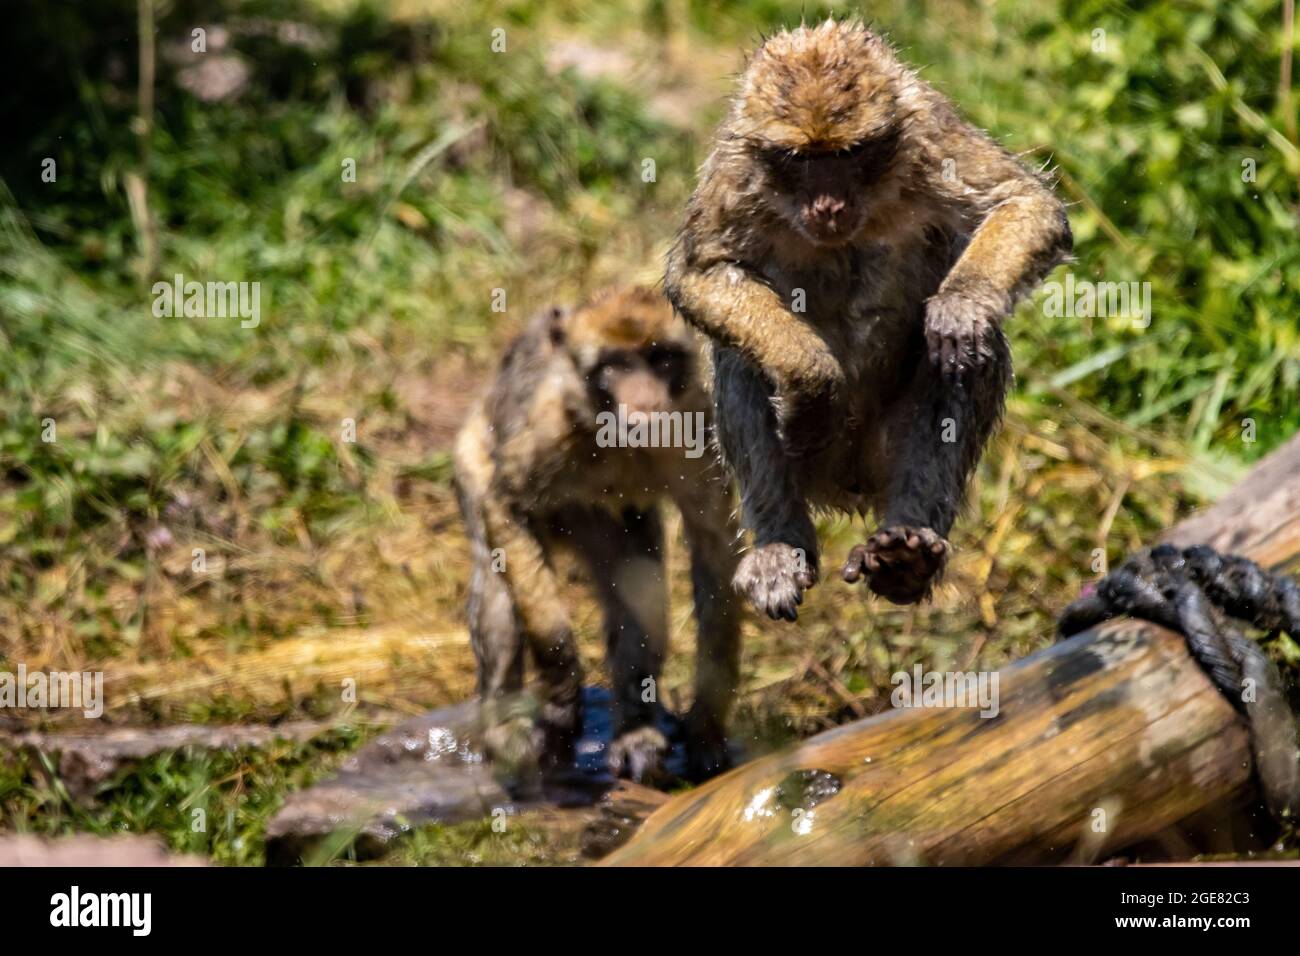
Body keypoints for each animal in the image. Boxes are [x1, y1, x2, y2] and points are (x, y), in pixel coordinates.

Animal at [452, 285, 742, 786]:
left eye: (659, 358)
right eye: (614, 366)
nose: (645, 403)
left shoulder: (695, 424)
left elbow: (713, 544)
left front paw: (706, 723)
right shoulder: (548, 428)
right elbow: (504, 505)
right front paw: (562, 683)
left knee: (639, 585)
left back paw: (634, 730)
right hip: (472, 454)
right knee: (498, 585)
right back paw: (503, 729)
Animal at [664, 19, 1072, 619]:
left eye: (850, 152)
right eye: (801, 159)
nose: (828, 206)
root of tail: (847, 486)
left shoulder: (929, 134)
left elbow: (1023, 204)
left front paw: (962, 303)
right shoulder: (735, 173)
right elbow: (700, 272)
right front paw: (811, 385)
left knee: (968, 358)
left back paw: (907, 551)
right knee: (739, 364)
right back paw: (780, 541)